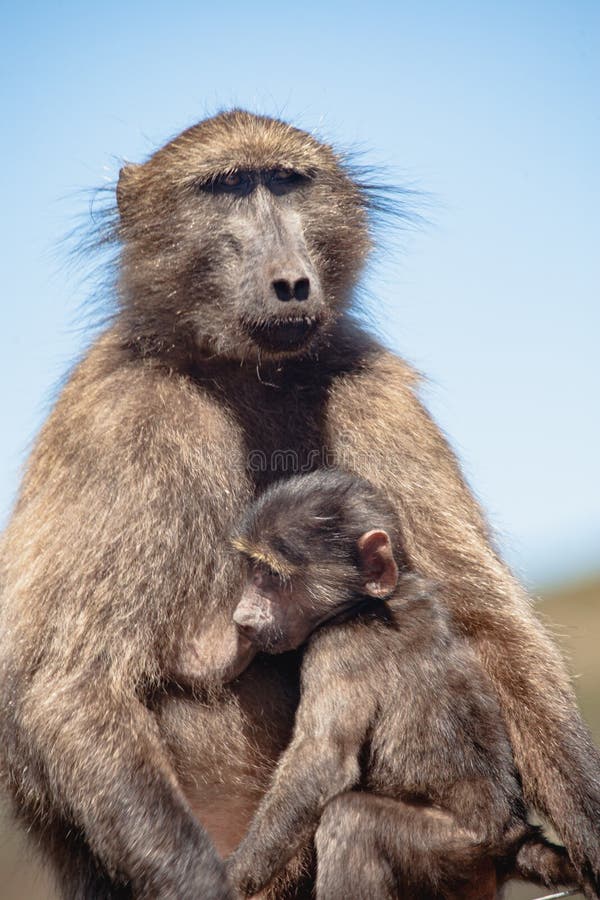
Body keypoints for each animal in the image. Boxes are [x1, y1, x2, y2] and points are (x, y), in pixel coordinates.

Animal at [220, 468, 585, 899]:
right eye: (252, 570)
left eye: (270, 575)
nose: (242, 618)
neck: (372, 600)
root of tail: (512, 838)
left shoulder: (338, 647)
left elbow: (323, 758)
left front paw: (231, 876)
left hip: (455, 851)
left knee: (352, 820)